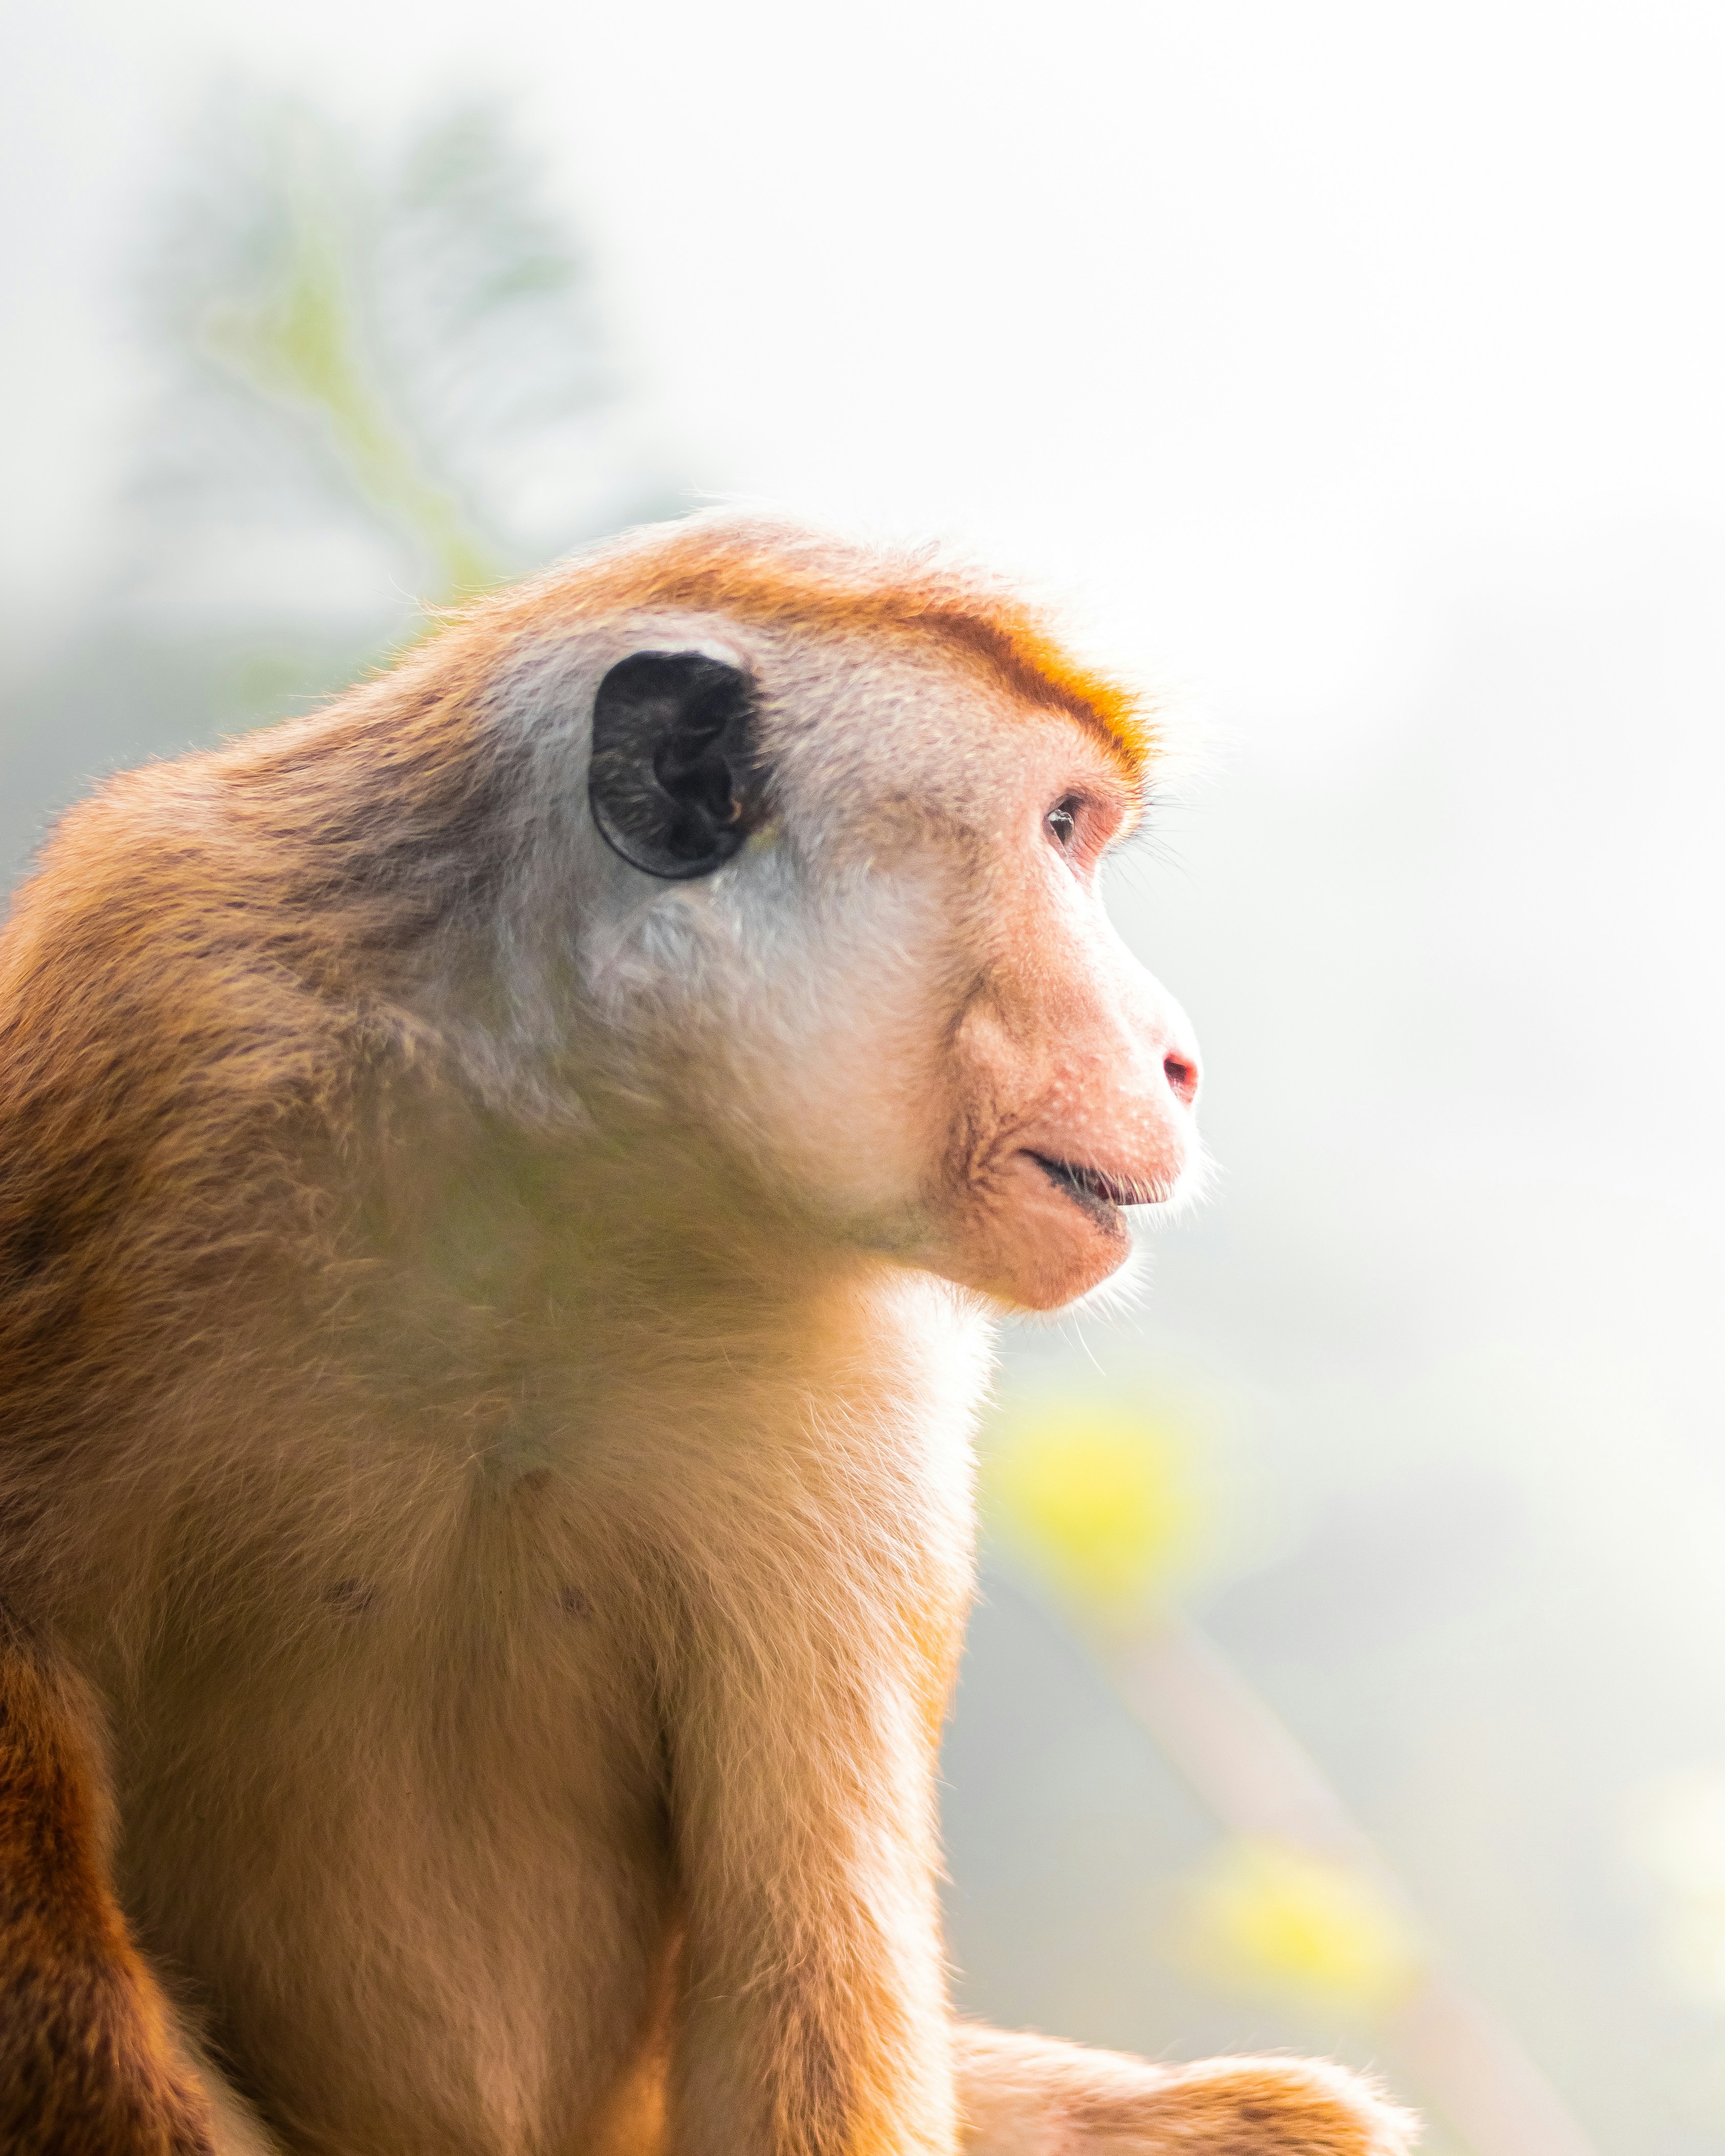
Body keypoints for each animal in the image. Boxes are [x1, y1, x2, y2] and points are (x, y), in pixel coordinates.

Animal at [0, 514, 1417, 2156]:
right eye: (1060, 827)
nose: (1179, 1055)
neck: (560, 1167)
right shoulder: (151, 1028)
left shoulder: (868, 1374)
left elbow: (795, 1961)